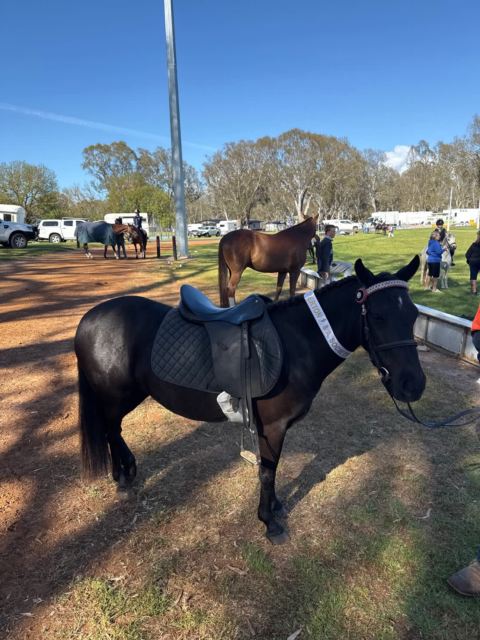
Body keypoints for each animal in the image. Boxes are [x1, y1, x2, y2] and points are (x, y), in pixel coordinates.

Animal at [75, 255, 425, 544]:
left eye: (413, 315)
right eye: (377, 316)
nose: (414, 386)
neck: (298, 342)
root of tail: (90, 319)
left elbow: (272, 470)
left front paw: (276, 508)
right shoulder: (273, 427)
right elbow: (268, 472)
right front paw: (269, 522)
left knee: (112, 430)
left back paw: (122, 473)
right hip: (115, 396)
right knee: (111, 429)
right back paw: (123, 477)